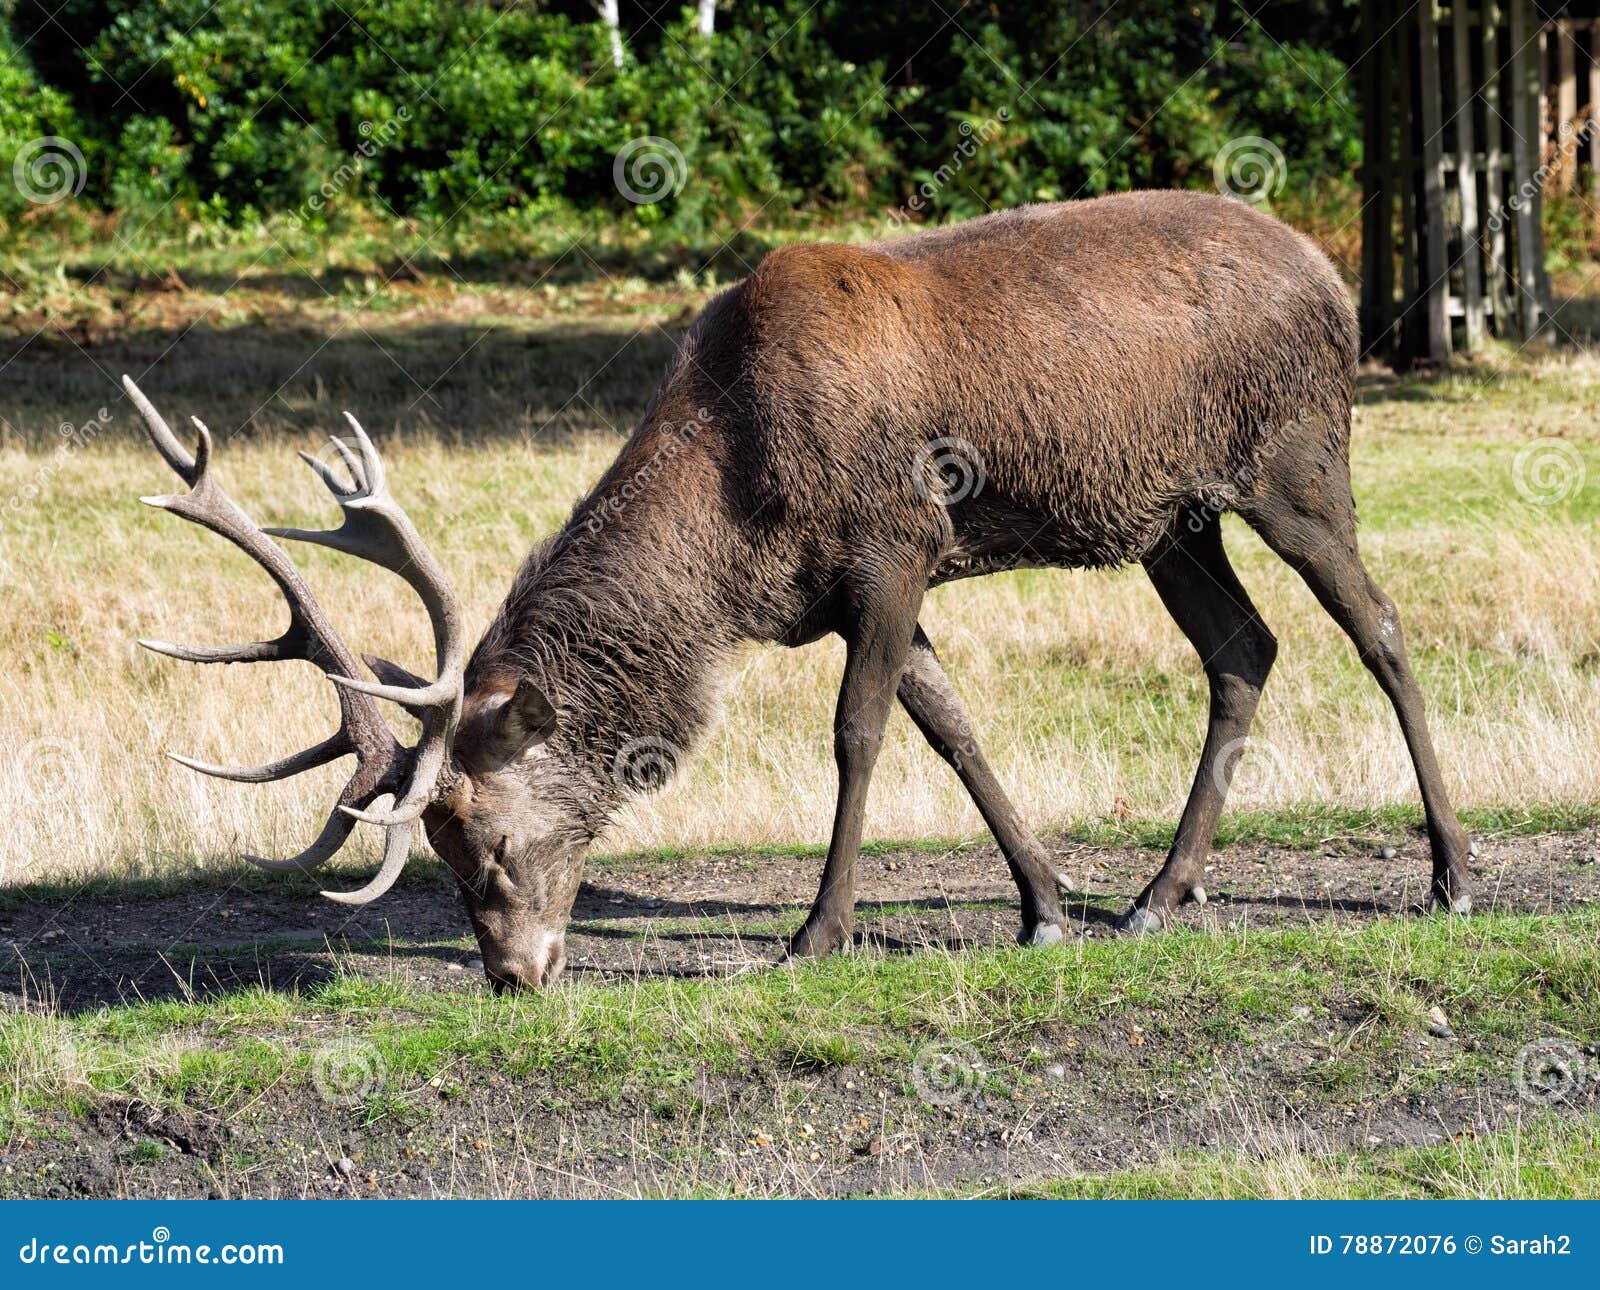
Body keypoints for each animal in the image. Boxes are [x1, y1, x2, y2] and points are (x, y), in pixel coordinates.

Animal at [132, 190, 1475, 991]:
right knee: (1242, 650)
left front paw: (815, 934)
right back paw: (1153, 896)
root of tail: (1333, 276)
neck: (741, 534)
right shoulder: (849, 589)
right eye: (445, 853)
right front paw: (1045, 907)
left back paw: (1450, 878)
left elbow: (860, 732)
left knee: (1380, 627)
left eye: (487, 840)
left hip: (1294, 459)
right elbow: (952, 727)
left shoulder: (895, 541)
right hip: (1170, 518)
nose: (516, 974)